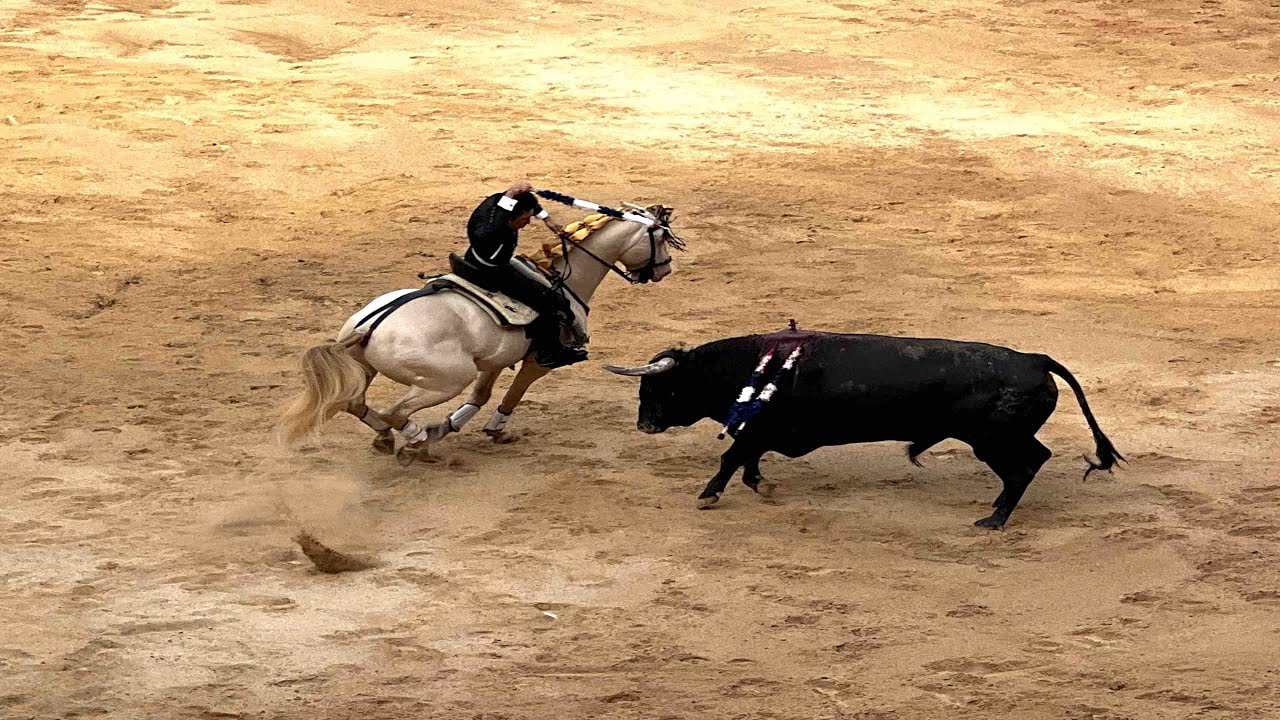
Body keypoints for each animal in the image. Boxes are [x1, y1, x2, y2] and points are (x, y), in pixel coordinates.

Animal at [605, 328, 1124, 529]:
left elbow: (732, 454)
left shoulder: (763, 428)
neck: (745, 367)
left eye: (658, 388)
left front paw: (709, 494)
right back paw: (995, 512)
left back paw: (994, 519)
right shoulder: (763, 429)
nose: (644, 425)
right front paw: (761, 485)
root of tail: (1035, 359)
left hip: (992, 440)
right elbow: (746, 455)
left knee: (1025, 466)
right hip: (1000, 438)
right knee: (1034, 460)